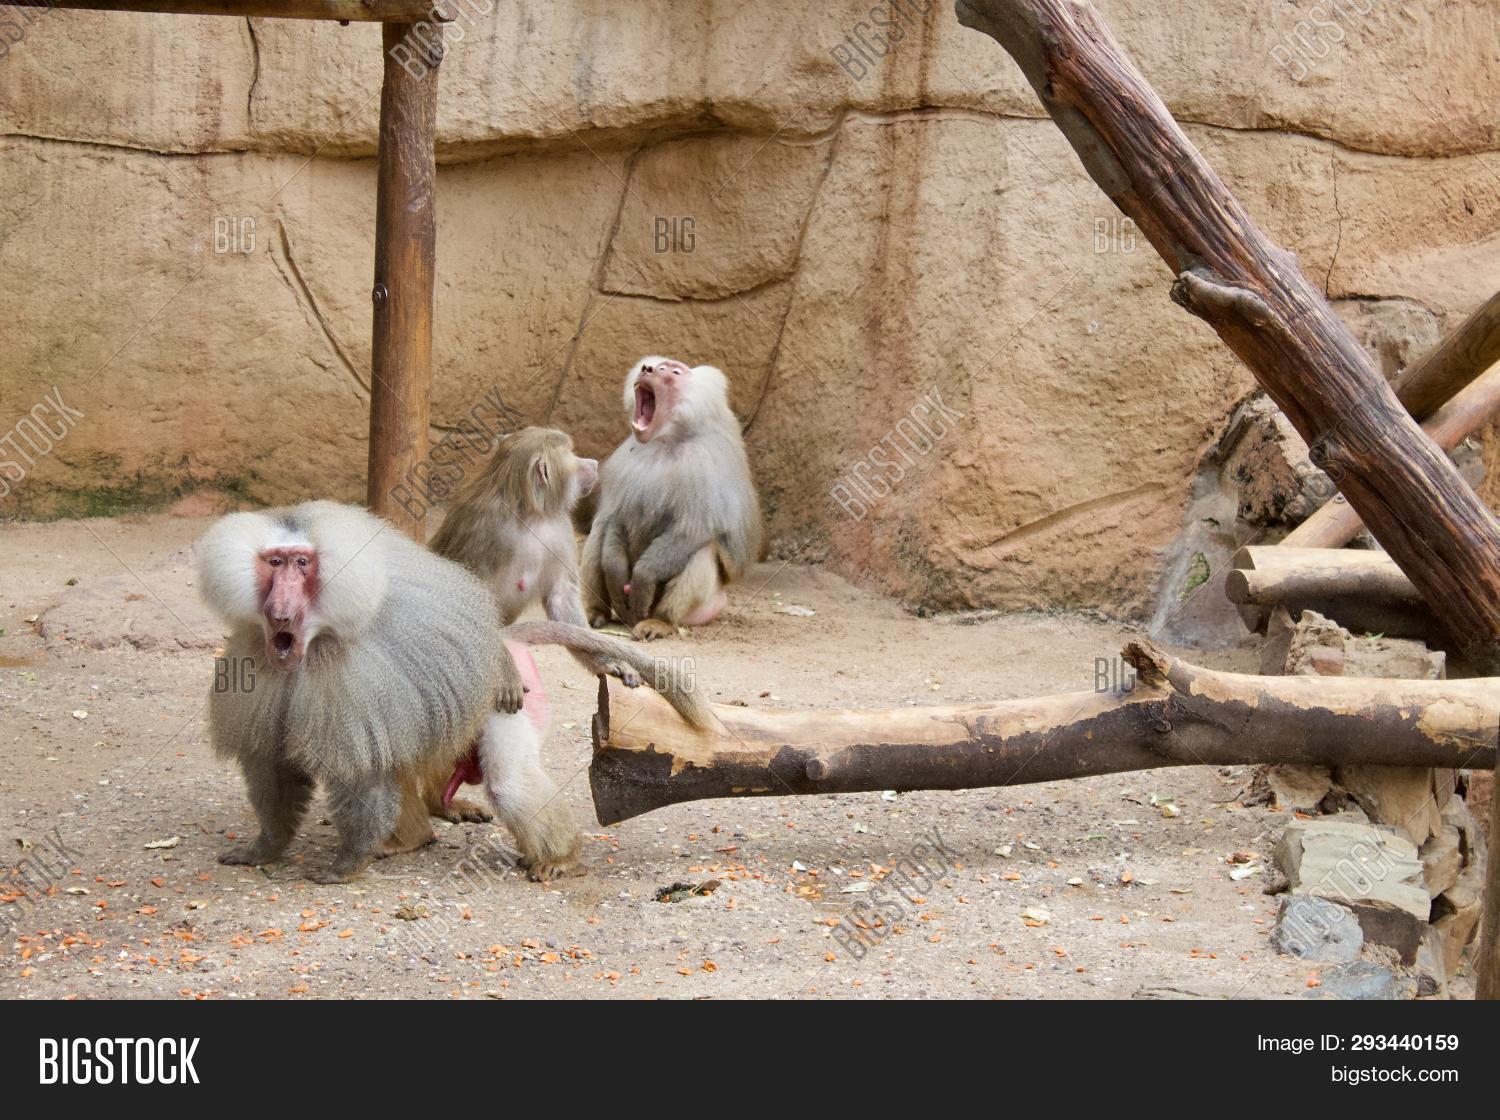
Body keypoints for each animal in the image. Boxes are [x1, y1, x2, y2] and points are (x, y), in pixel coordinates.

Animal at [582, 356, 763, 640]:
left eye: (674, 372)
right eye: (655, 365)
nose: (646, 369)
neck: (666, 440)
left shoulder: (705, 463)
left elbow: (693, 530)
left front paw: (643, 580)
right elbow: (615, 518)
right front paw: (615, 574)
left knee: (703, 547)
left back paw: (659, 623)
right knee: (599, 529)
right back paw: (596, 614)